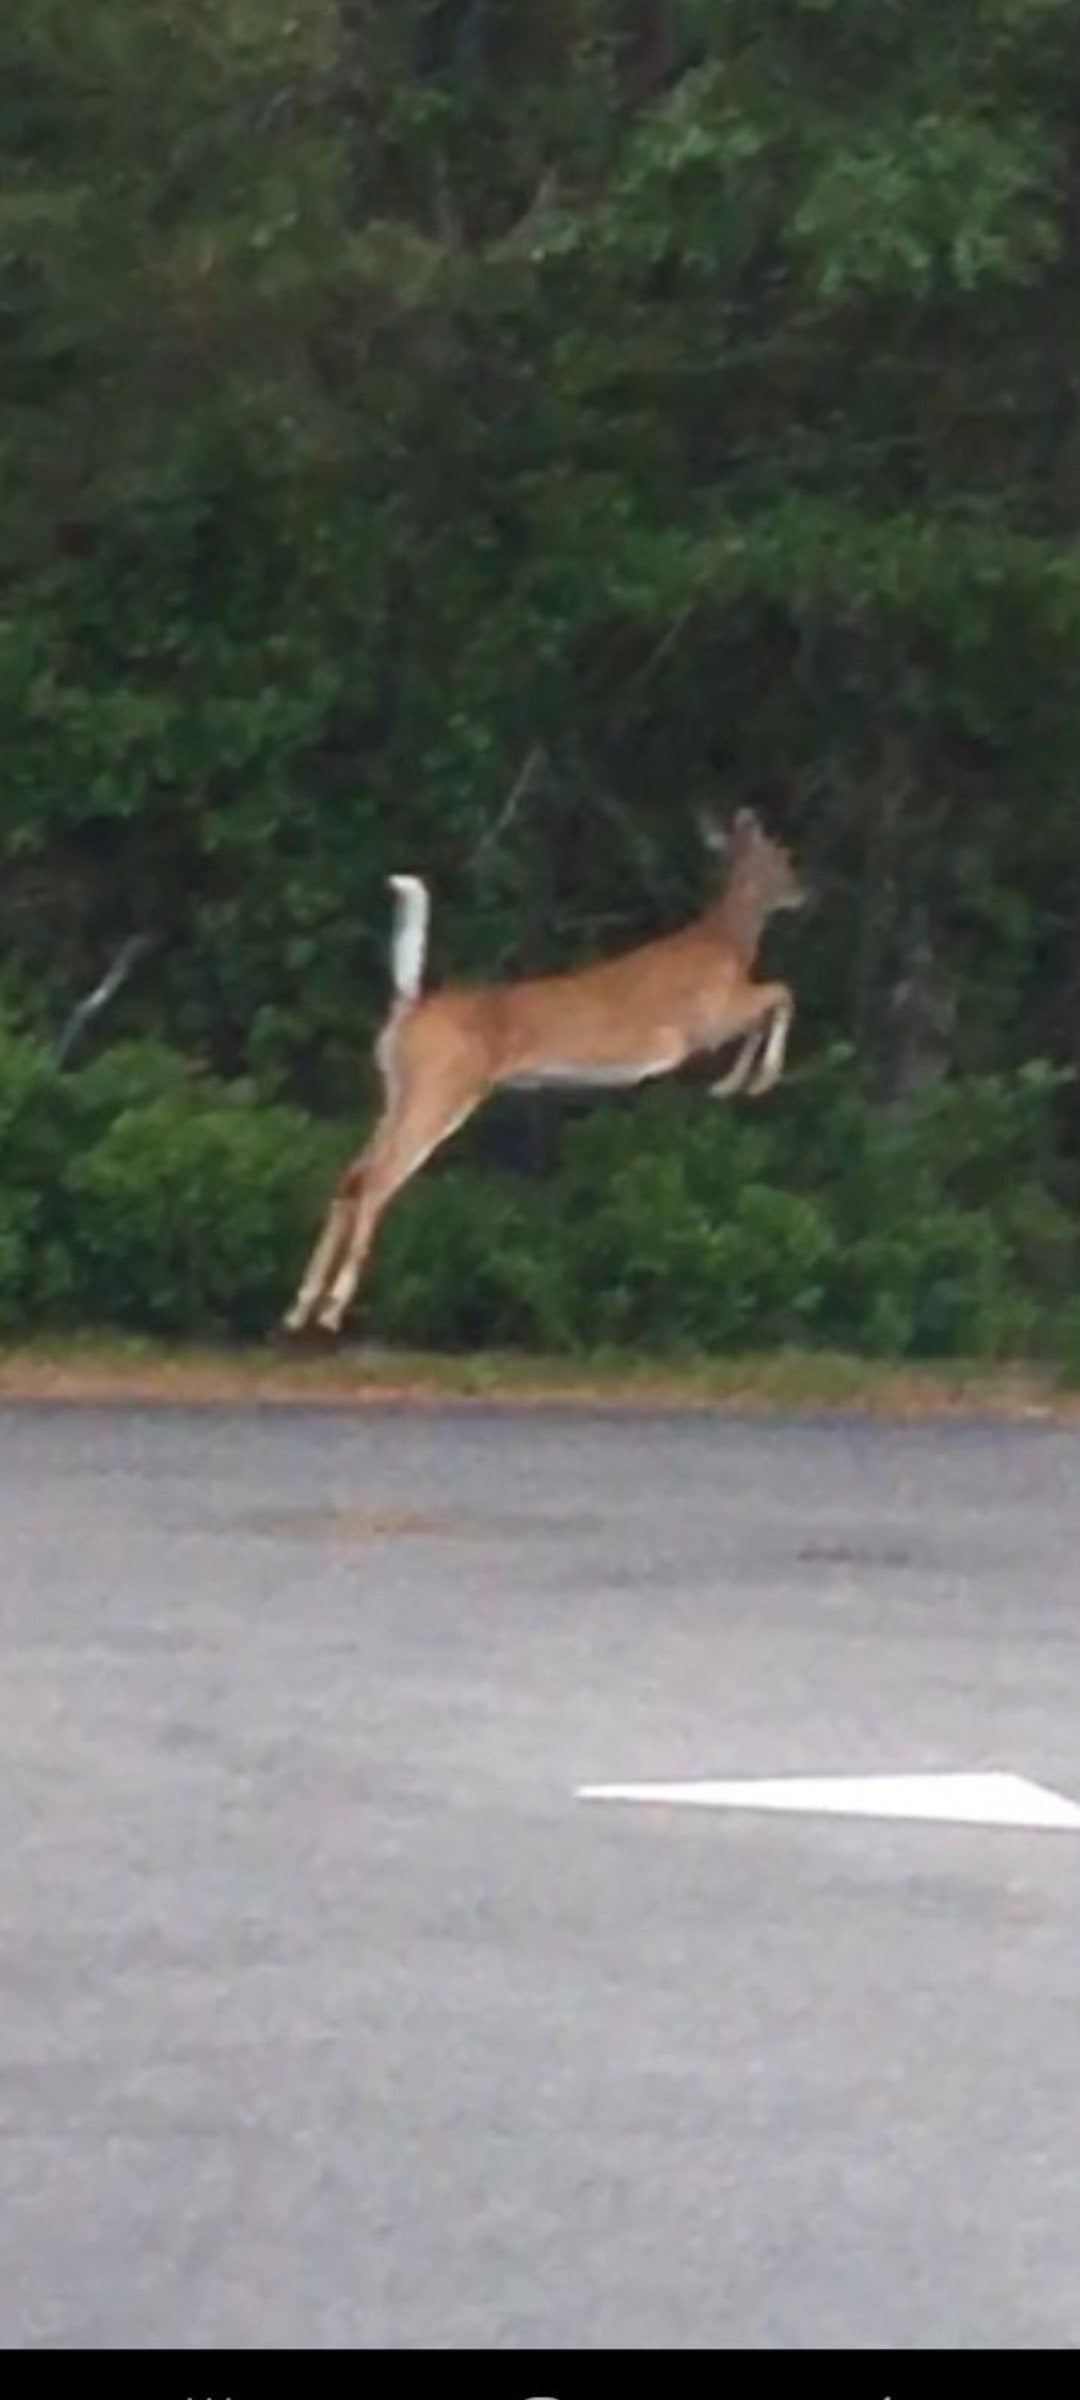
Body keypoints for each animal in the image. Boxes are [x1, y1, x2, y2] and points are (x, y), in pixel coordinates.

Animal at [283, 807, 808, 1338]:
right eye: (782, 854)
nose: (806, 891)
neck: (728, 945)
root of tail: (409, 1009)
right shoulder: (704, 1021)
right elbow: (781, 993)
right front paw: (751, 1081)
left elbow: (772, 1003)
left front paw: (733, 1084)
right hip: (441, 1088)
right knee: (376, 1180)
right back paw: (331, 1309)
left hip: (399, 1092)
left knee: (351, 1175)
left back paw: (301, 1307)